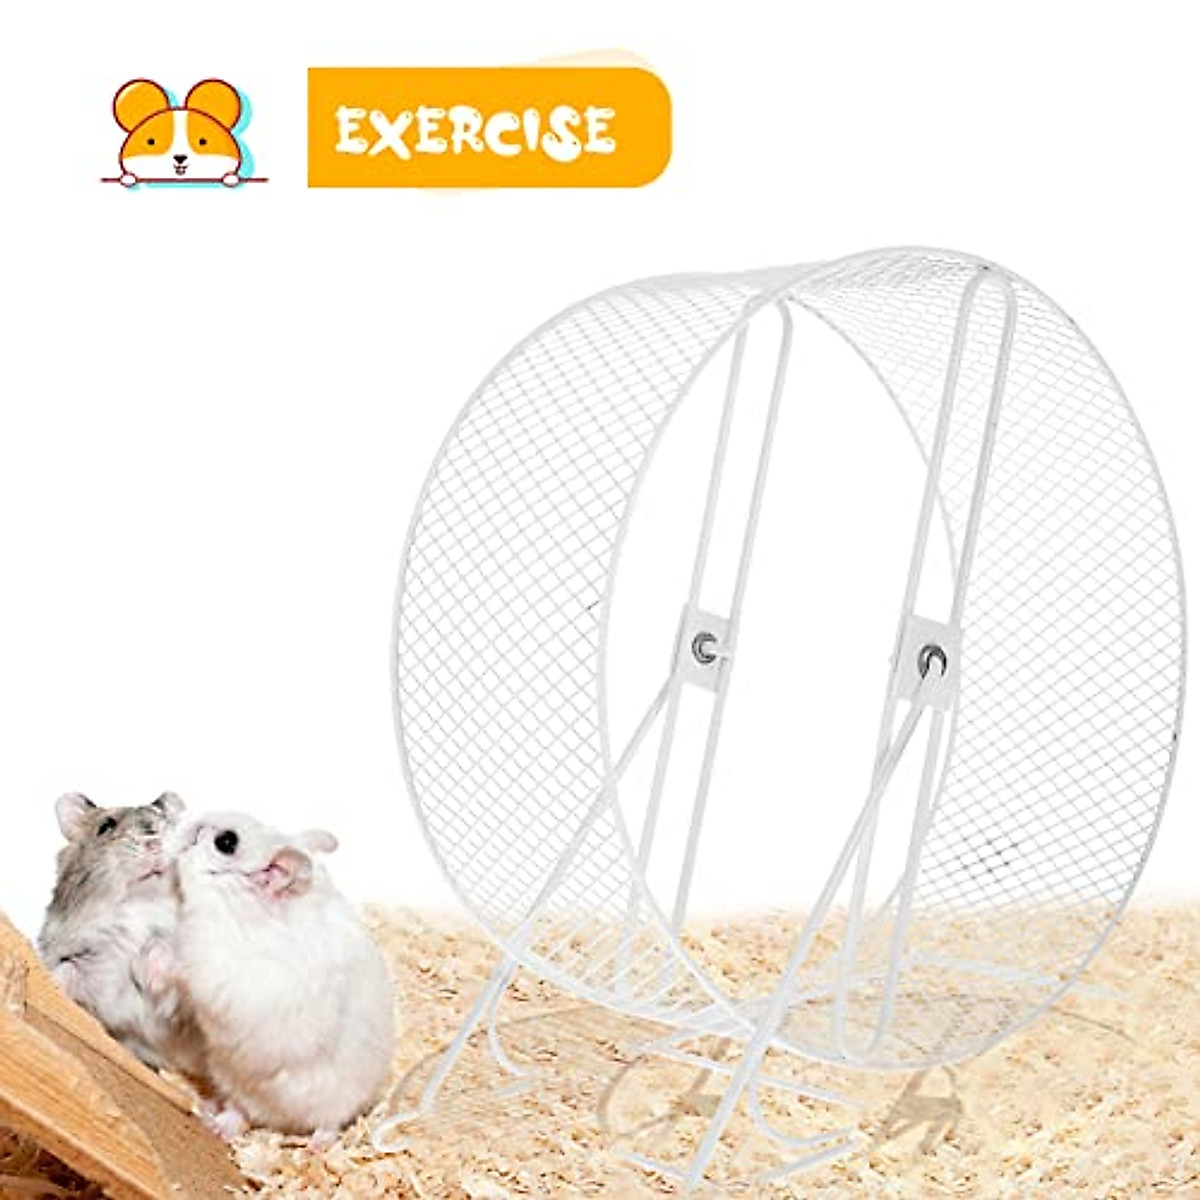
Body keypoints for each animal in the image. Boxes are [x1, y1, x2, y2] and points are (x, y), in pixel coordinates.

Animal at [37, 792, 207, 1078]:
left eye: (170, 822)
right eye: (106, 826)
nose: (155, 842)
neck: (142, 907)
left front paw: (149, 973)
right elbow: (67, 969)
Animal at [167, 811, 395, 1140]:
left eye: (226, 841)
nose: (193, 823)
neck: (235, 908)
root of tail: (280, 1121)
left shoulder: (220, 975)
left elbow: (185, 969)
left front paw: (150, 962)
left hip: (337, 1099)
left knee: (329, 1122)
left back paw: (317, 1144)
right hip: (230, 1077)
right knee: (238, 1113)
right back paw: (213, 1119)